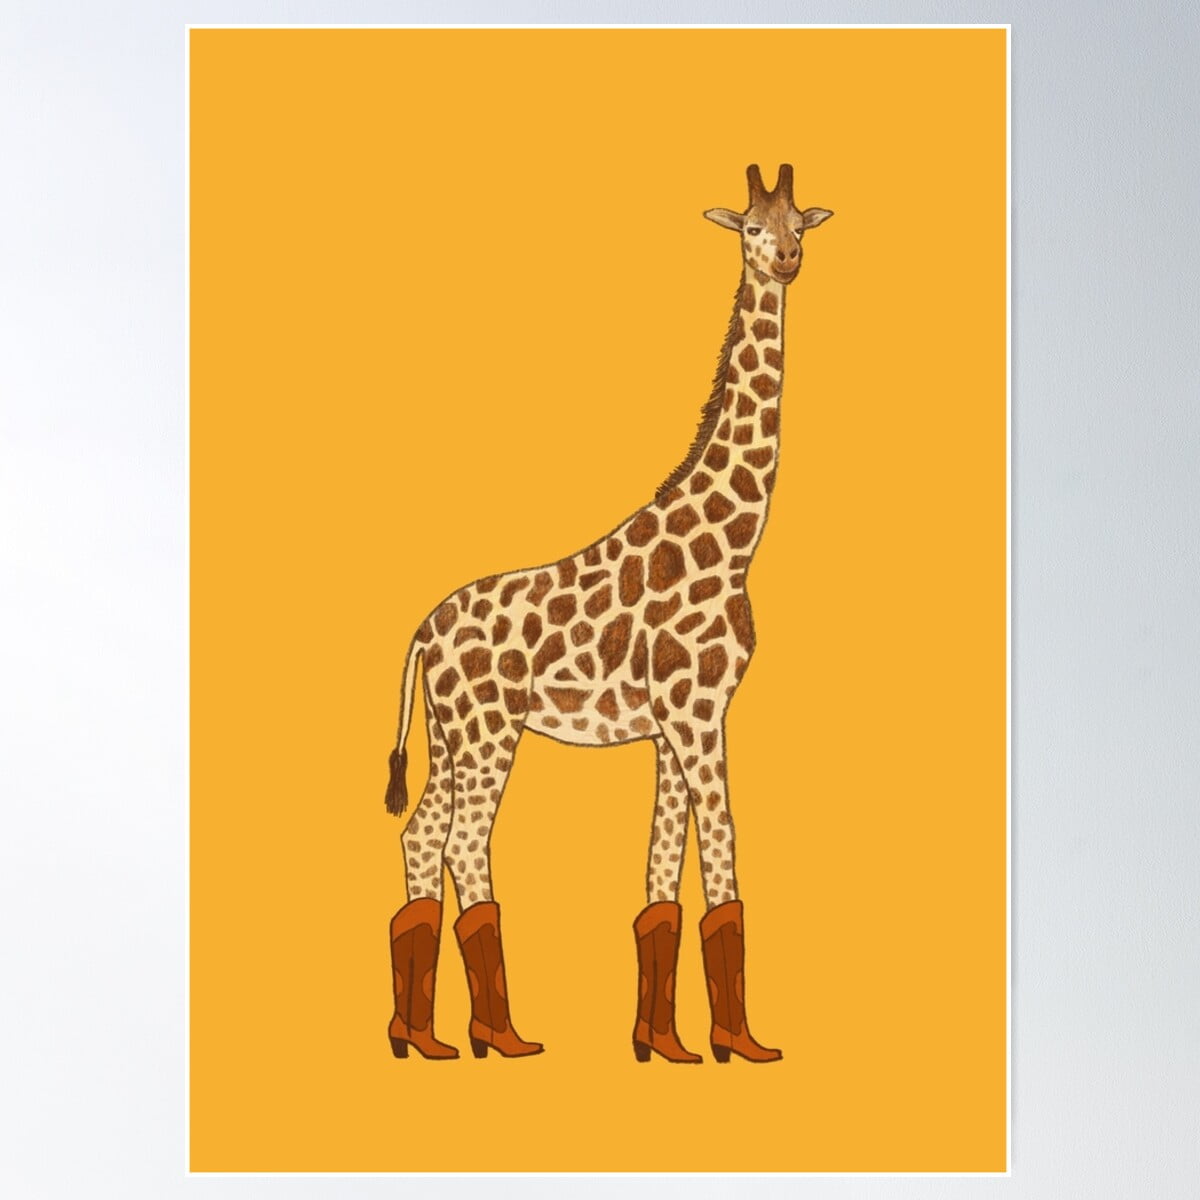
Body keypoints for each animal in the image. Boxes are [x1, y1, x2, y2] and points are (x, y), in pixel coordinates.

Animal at [384, 164, 832, 1063]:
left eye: (801, 223)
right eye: (750, 230)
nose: (788, 261)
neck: (735, 540)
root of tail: (422, 634)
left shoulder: (672, 725)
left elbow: (662, 878)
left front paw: (665, 1043)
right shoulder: (698, 712)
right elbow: (723, 857)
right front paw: (742, 1043)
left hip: (449, 735)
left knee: (420, 836)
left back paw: (423, 1037)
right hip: (491, 730)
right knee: (462, 841)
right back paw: (501, 1037)